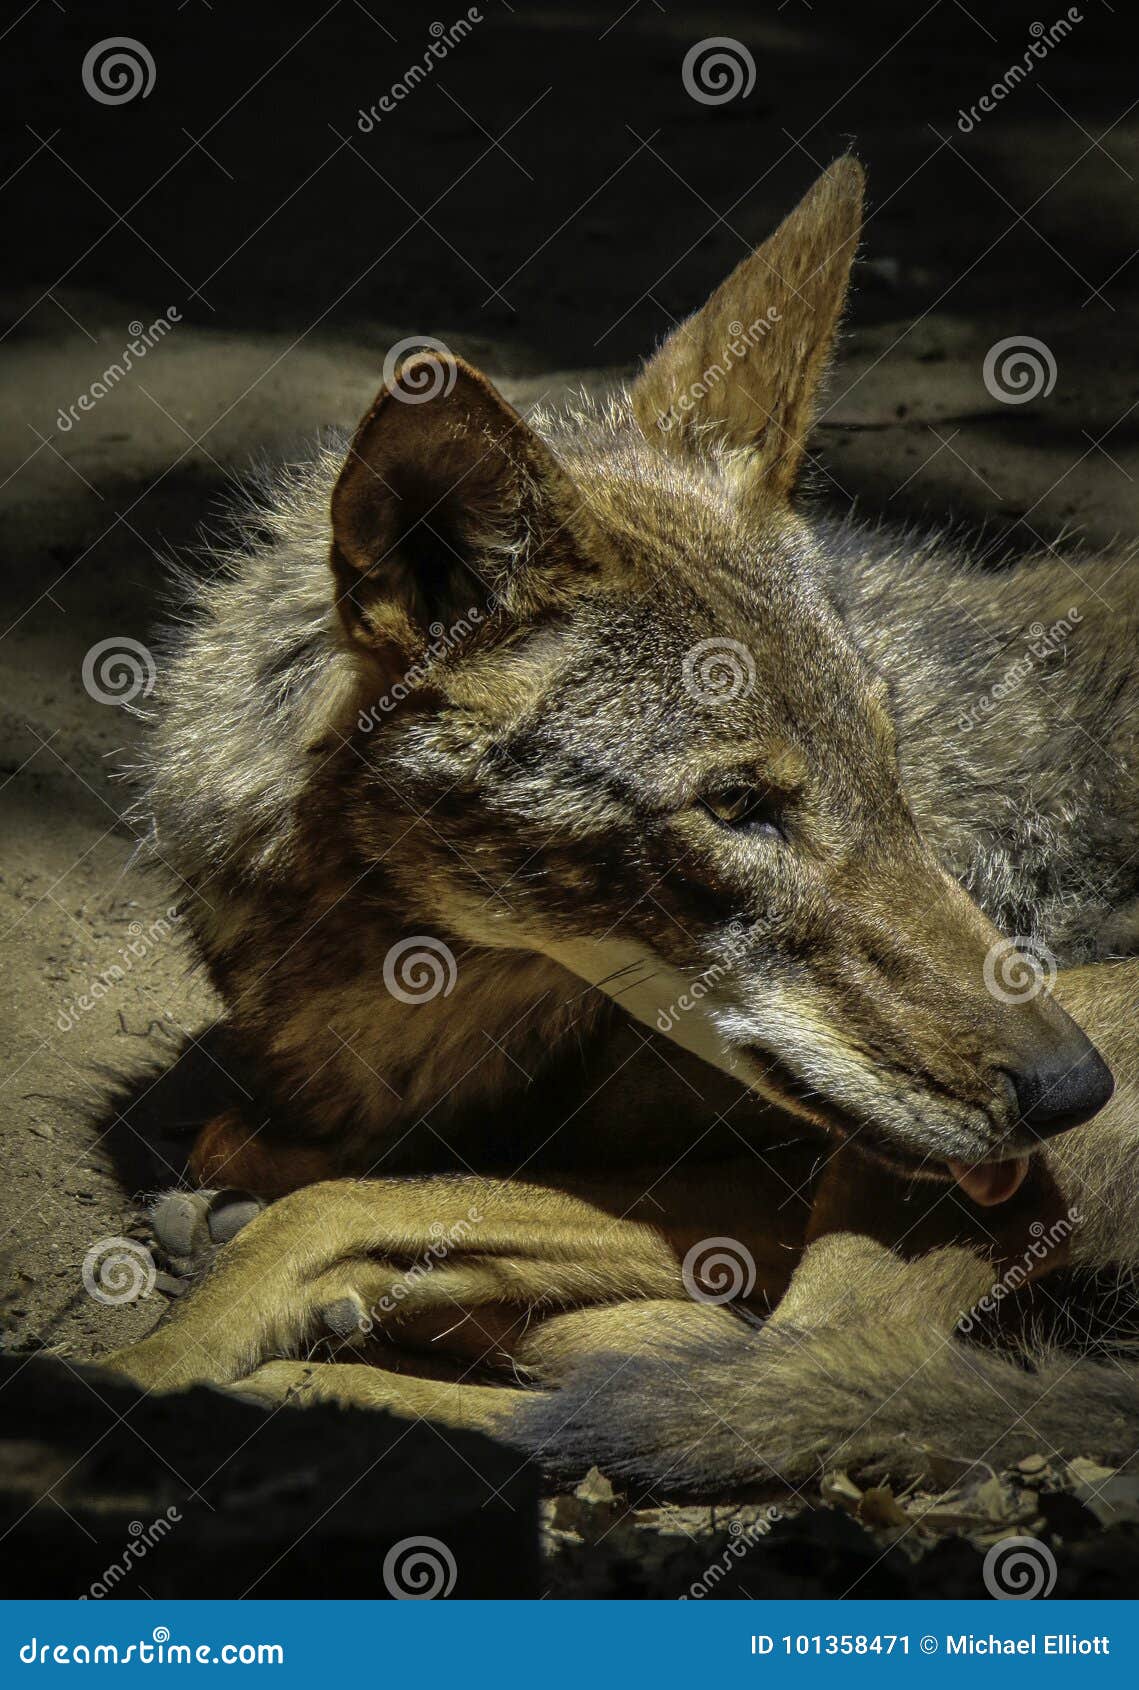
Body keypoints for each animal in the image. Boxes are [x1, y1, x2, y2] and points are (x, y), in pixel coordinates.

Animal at [104, 157, 1139, 1491]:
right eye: (736, 806)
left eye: (888, 757)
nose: (1076, 1091)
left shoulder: (772, 1183)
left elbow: (346, 1209)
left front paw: (151, 1361)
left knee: (736, 1381)